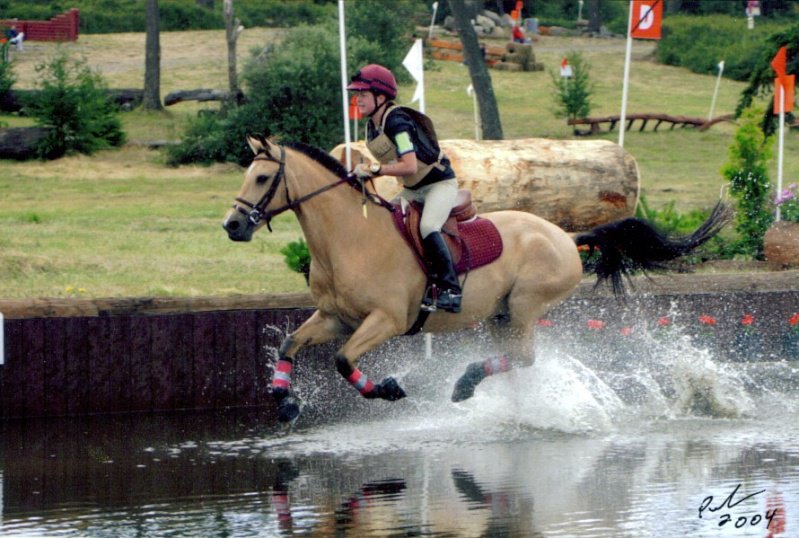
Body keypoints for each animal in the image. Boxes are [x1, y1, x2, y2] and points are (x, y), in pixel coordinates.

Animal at [222, 135, 729, 424]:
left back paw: (466, 383)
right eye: (247, 175)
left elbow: (343, 361)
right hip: (498, 314)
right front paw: (285, 402)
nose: (233, 226)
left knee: (524, 358)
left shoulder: (386, 319)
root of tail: (566, 235)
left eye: (262, 178)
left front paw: (387, 389)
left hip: (525, 305)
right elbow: (290, 345)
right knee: (515, 360)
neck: (348, 236)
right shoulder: (335, 317)